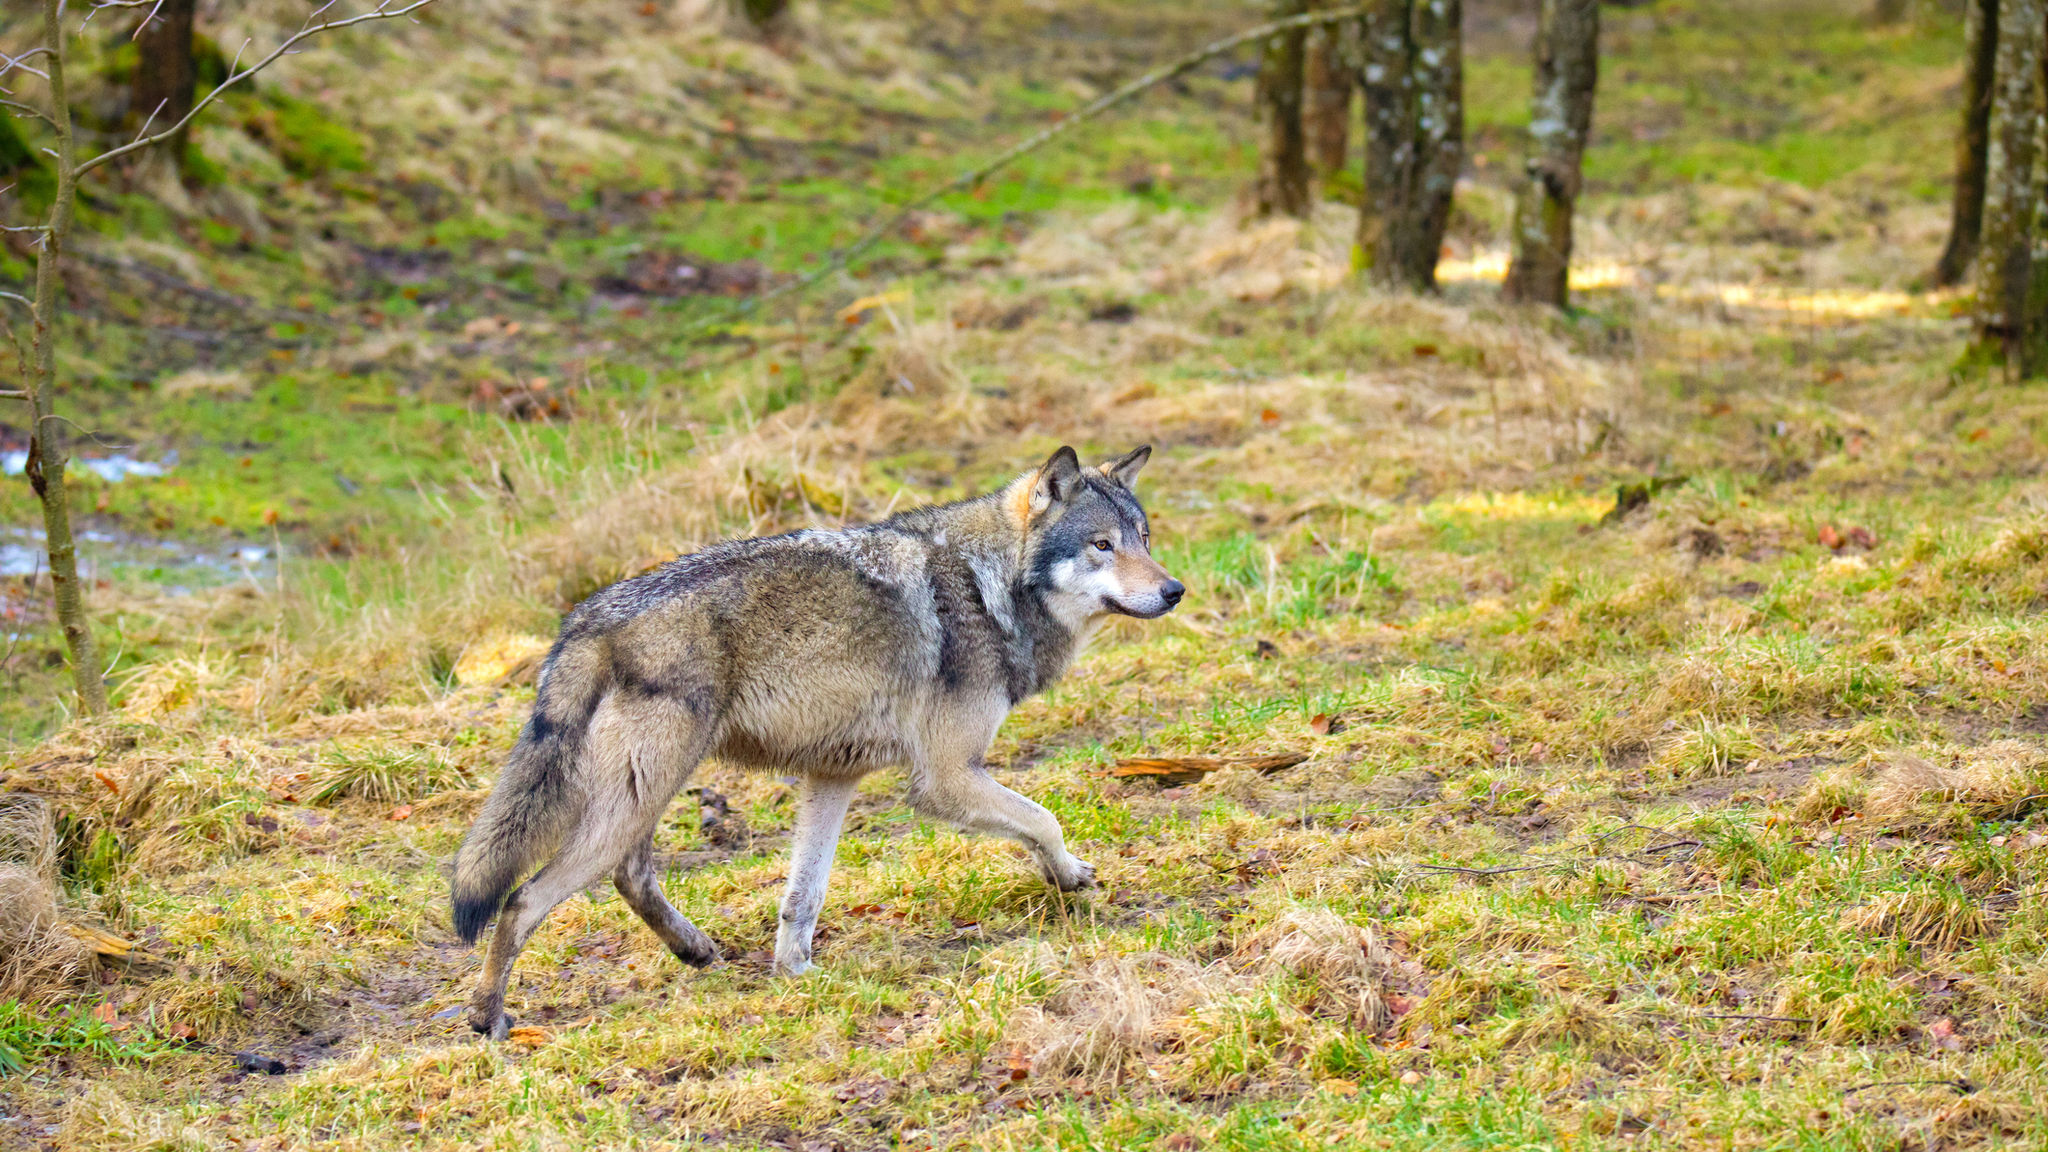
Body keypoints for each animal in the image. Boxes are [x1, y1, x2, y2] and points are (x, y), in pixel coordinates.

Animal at [449, 445, 1182, 1038]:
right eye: (1102, 546)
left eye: (1144, 539)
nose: (1175, 589)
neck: (988, 587)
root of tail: (585, 620)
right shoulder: (945, 778)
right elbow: (1044, 820)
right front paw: (1071, 876)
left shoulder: (834, 777)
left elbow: (802, 896)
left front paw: (795, 974)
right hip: (640, 795)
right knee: (523, 900)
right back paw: (488, 1018)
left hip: (640, 797)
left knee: (629, 875)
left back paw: (695, 950)